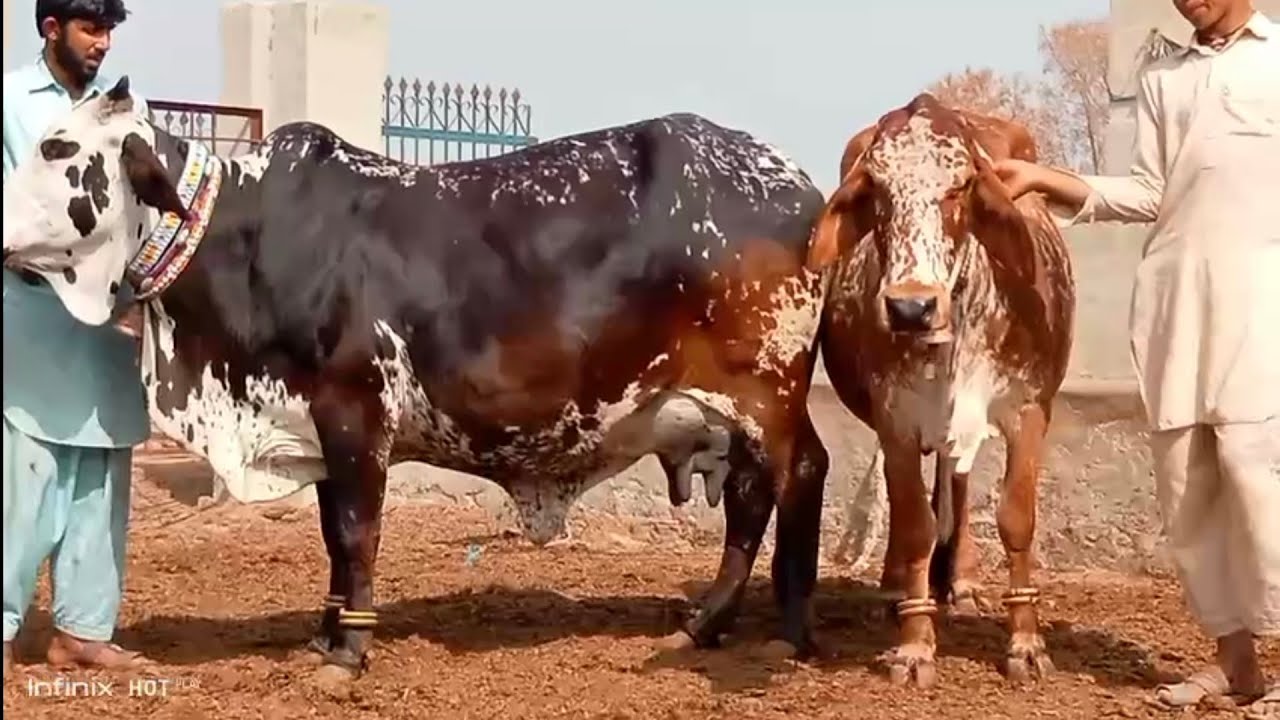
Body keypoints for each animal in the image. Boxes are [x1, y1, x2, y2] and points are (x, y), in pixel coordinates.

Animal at [2, 77, 834, 686]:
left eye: (58, 146)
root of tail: (801, 183)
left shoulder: (355, 412)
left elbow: (357, 533)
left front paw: (348, 654)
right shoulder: (314, 427)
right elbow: (333, 541)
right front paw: (327, 633)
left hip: (767, 391)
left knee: (800, 474)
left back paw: (788, 636)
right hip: (731, 411)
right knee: (751, 496)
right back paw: (706, 623)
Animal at [807, 93, 1075, 688]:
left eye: (959, 187)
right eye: (879, 190)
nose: (911, 306)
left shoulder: (1029, 408)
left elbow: (1015, 517)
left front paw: (1026, 643)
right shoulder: (896, 416)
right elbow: (914, 524)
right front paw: (914, 646)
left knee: (957, 480)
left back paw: (964, 582)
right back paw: (900, 586)